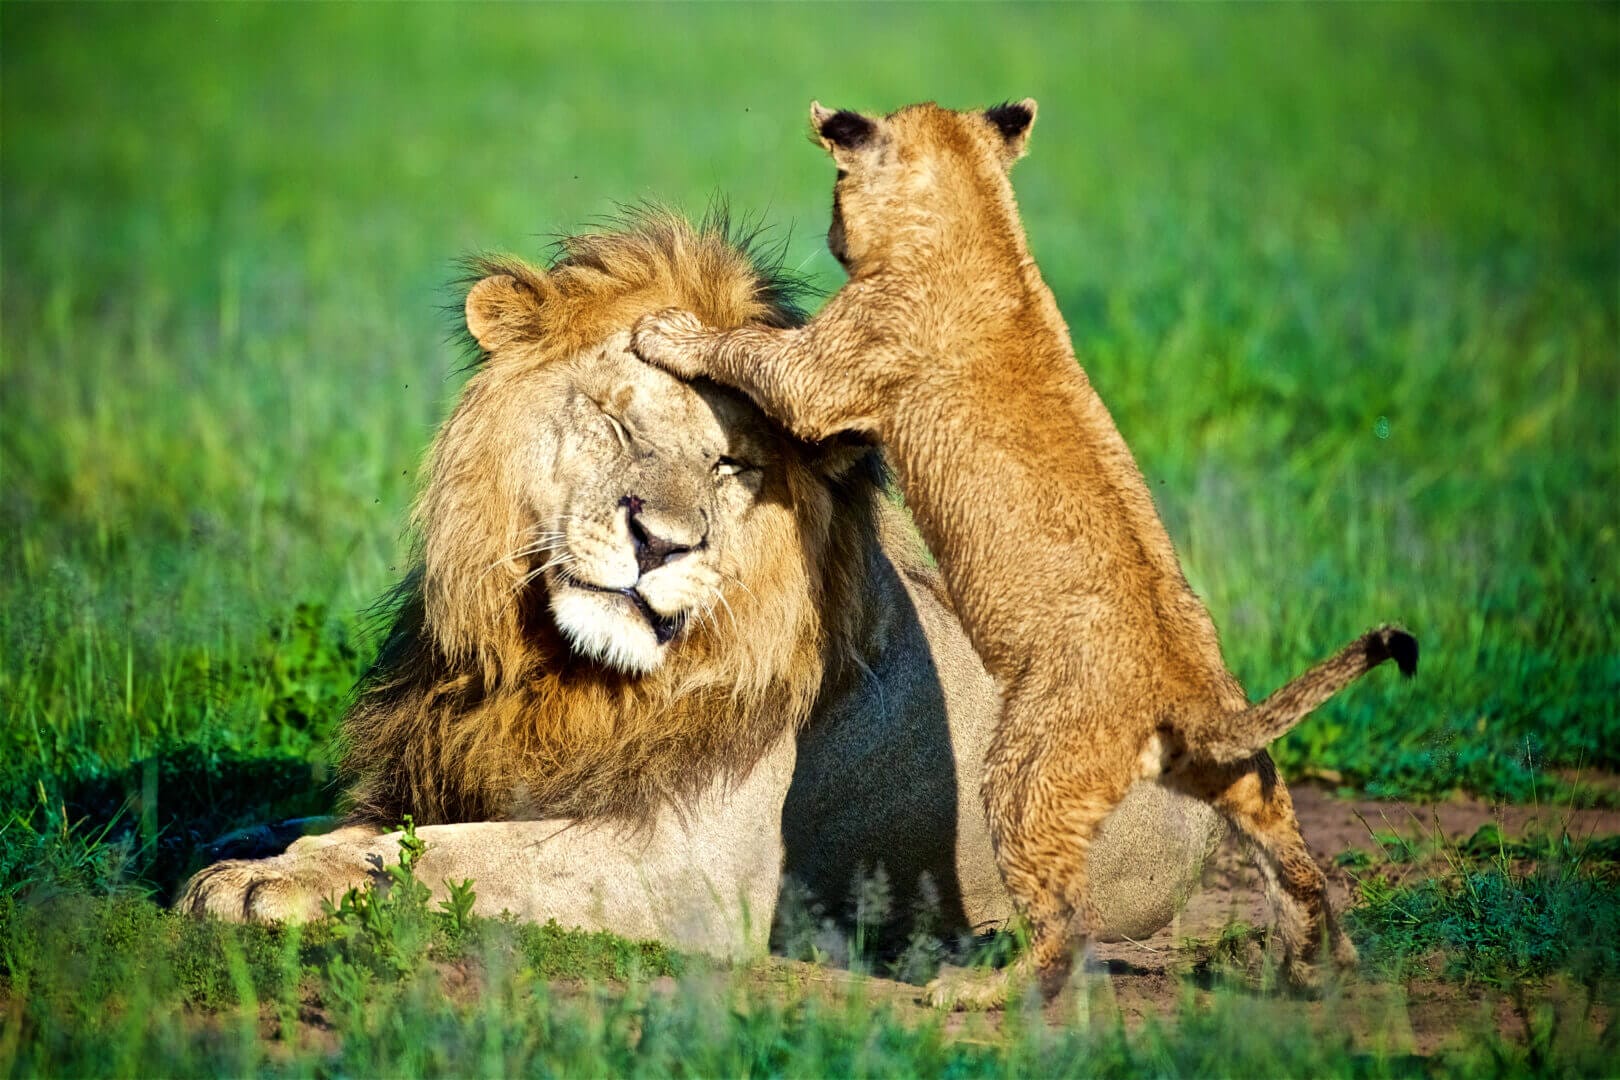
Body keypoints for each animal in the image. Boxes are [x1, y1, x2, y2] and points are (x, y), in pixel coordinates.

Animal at [178, 210, 1223, 961]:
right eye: (611, 421)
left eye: (732, 466)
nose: (661, 544)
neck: (557, 675)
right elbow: (369, 819)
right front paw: (240, 842)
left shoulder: (683, 872)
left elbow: (449, 856)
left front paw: (279, 881)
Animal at [631, 104, 1417, 1003]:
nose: (830, 229)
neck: (981, 227)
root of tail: (1187, 694)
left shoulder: (826, 369)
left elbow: (747, 350)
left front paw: (668, 332)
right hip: (1238, 778)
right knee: (1295, 863)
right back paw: (1316, 964)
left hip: (1026, 774)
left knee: (1061, 929)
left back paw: (980, 992)